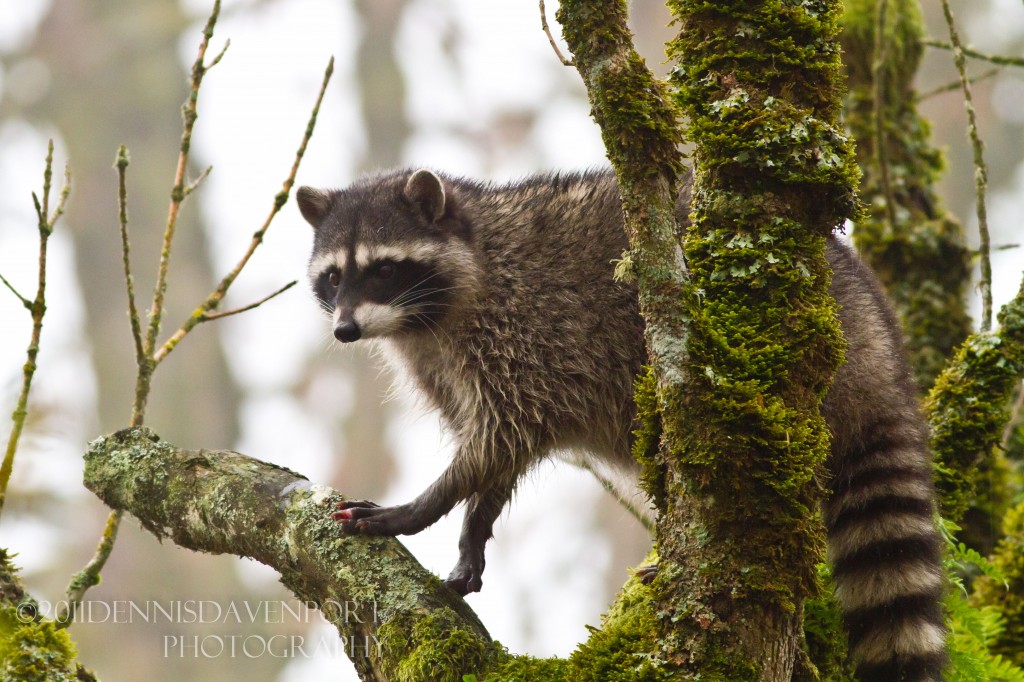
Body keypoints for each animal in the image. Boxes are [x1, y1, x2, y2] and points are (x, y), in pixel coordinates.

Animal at [297, 168, 946, 680]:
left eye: (384, 270)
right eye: (333, 277)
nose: (345, 330)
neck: (427, 314)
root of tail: (885, 356)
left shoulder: (529, 330)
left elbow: (507, 431)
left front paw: (421, 508)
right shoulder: (440, 363)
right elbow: (498, 449)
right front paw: (474, 526)